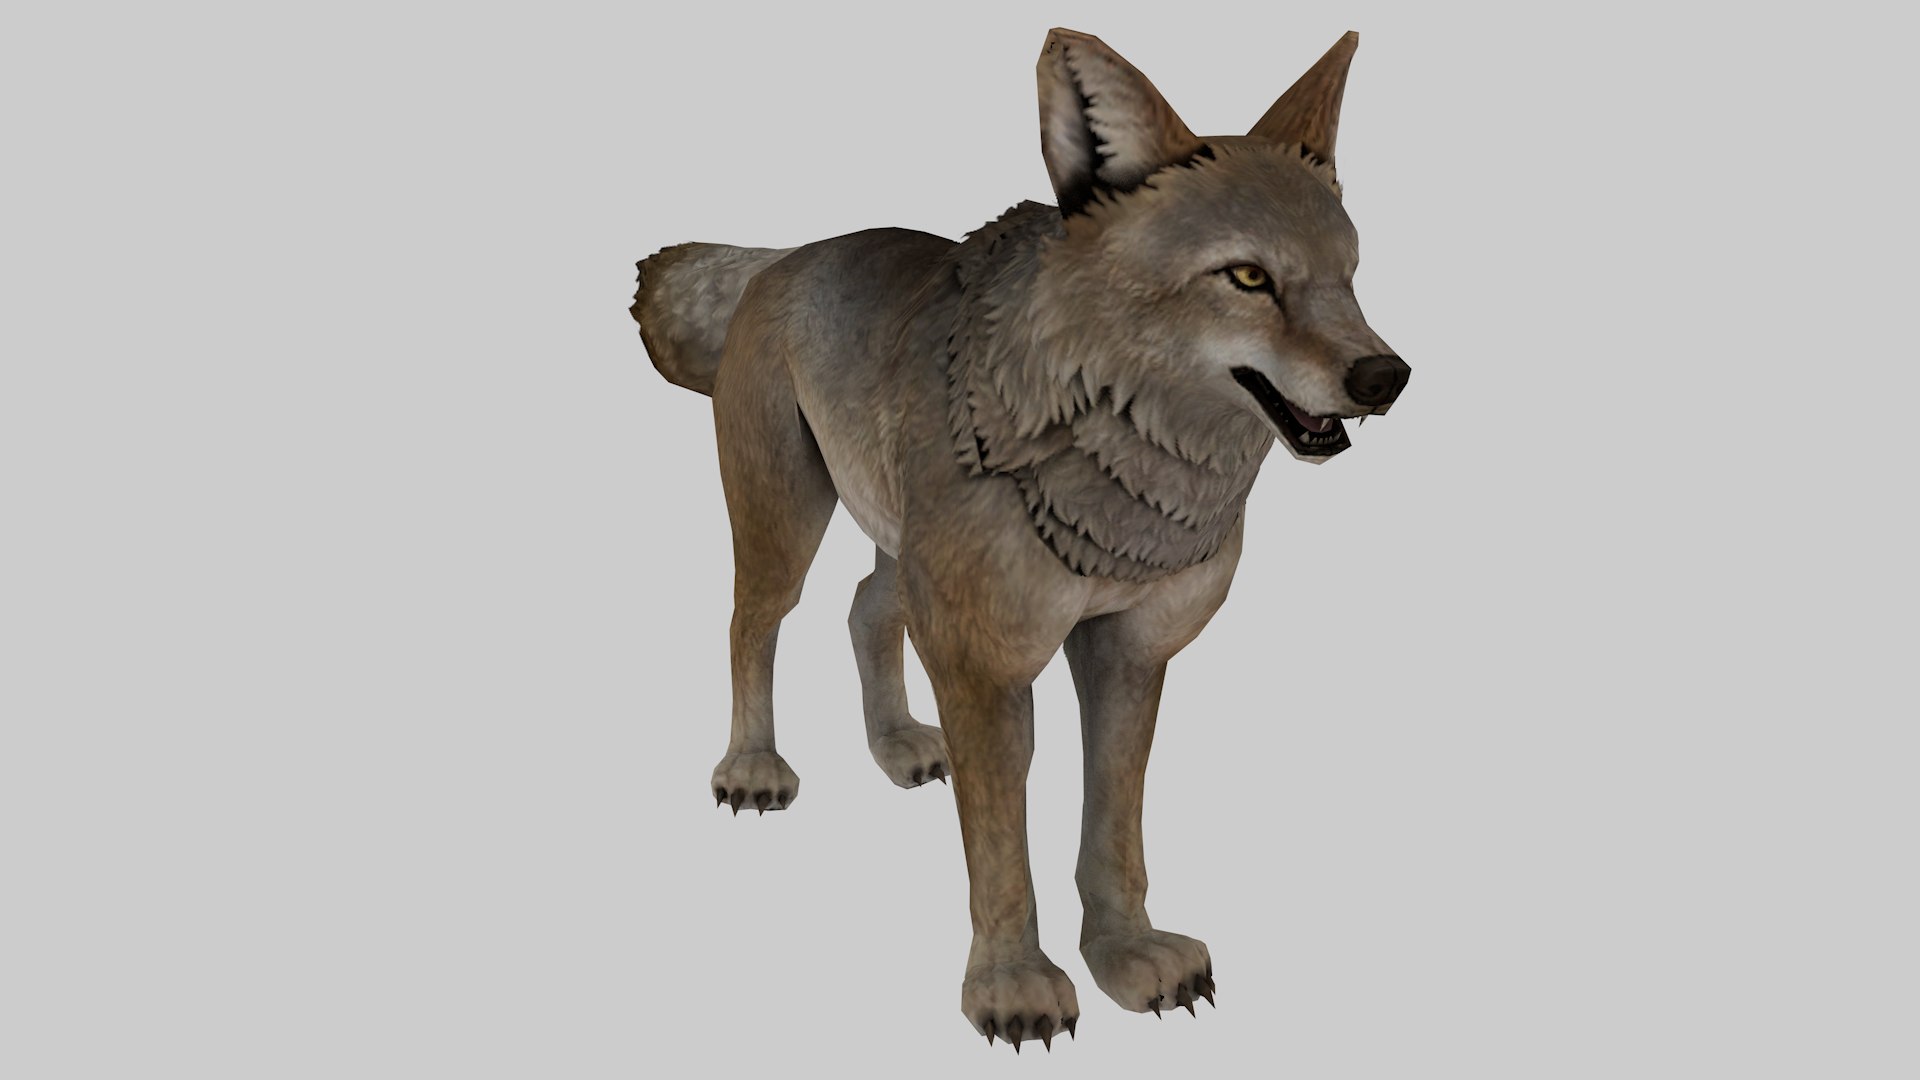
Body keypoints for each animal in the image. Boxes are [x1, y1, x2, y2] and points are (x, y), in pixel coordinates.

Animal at [630, 27, 1410, 1050]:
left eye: (1348, 276)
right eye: (1248, 277)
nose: (1385, 376)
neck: (1126, 481)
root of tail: (786, 255)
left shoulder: (1126, 650)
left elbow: (1114, 829)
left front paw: (1128, 956)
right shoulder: (985, 664)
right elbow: (1002, 845)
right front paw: (1012, 986)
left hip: (902, 549)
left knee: (864, 608)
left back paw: (900, 746)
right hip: (786, 528)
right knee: (751, 623)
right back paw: (753, 768)